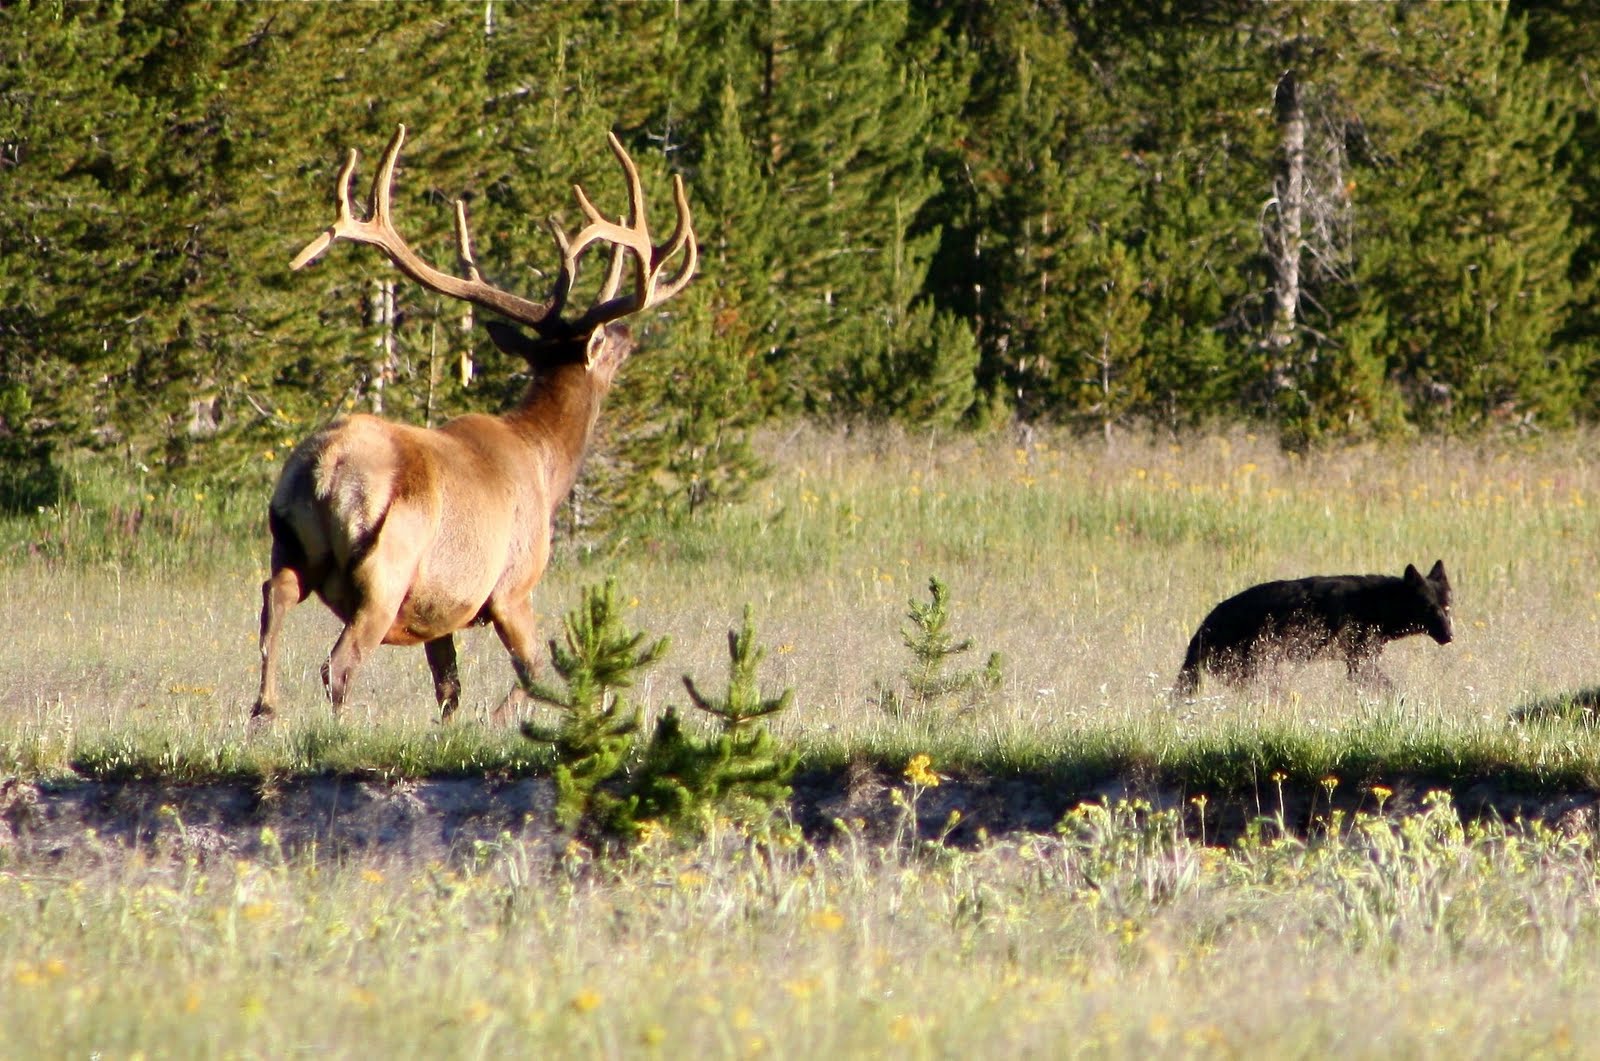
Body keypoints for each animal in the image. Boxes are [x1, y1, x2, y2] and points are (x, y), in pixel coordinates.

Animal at [251, 125, 696, 726]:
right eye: (606, 345)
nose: (630, 336)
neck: (544, 463)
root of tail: (323, 471)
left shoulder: (439, 609)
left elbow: (450, 688)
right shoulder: (511, 586)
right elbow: (537, 671)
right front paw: (502, 723)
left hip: (290, 546)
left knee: (271, 604)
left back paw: (265, 711)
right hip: (387, 570)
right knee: (339, 661)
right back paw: (336, 729)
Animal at [1173, 560, 1453, 698]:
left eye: (1447, 607)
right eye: (1428, 608)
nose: (1450, 636)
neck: (1377, 603)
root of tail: (1203, 628)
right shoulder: (1359, 664)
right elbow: (1393, 690)